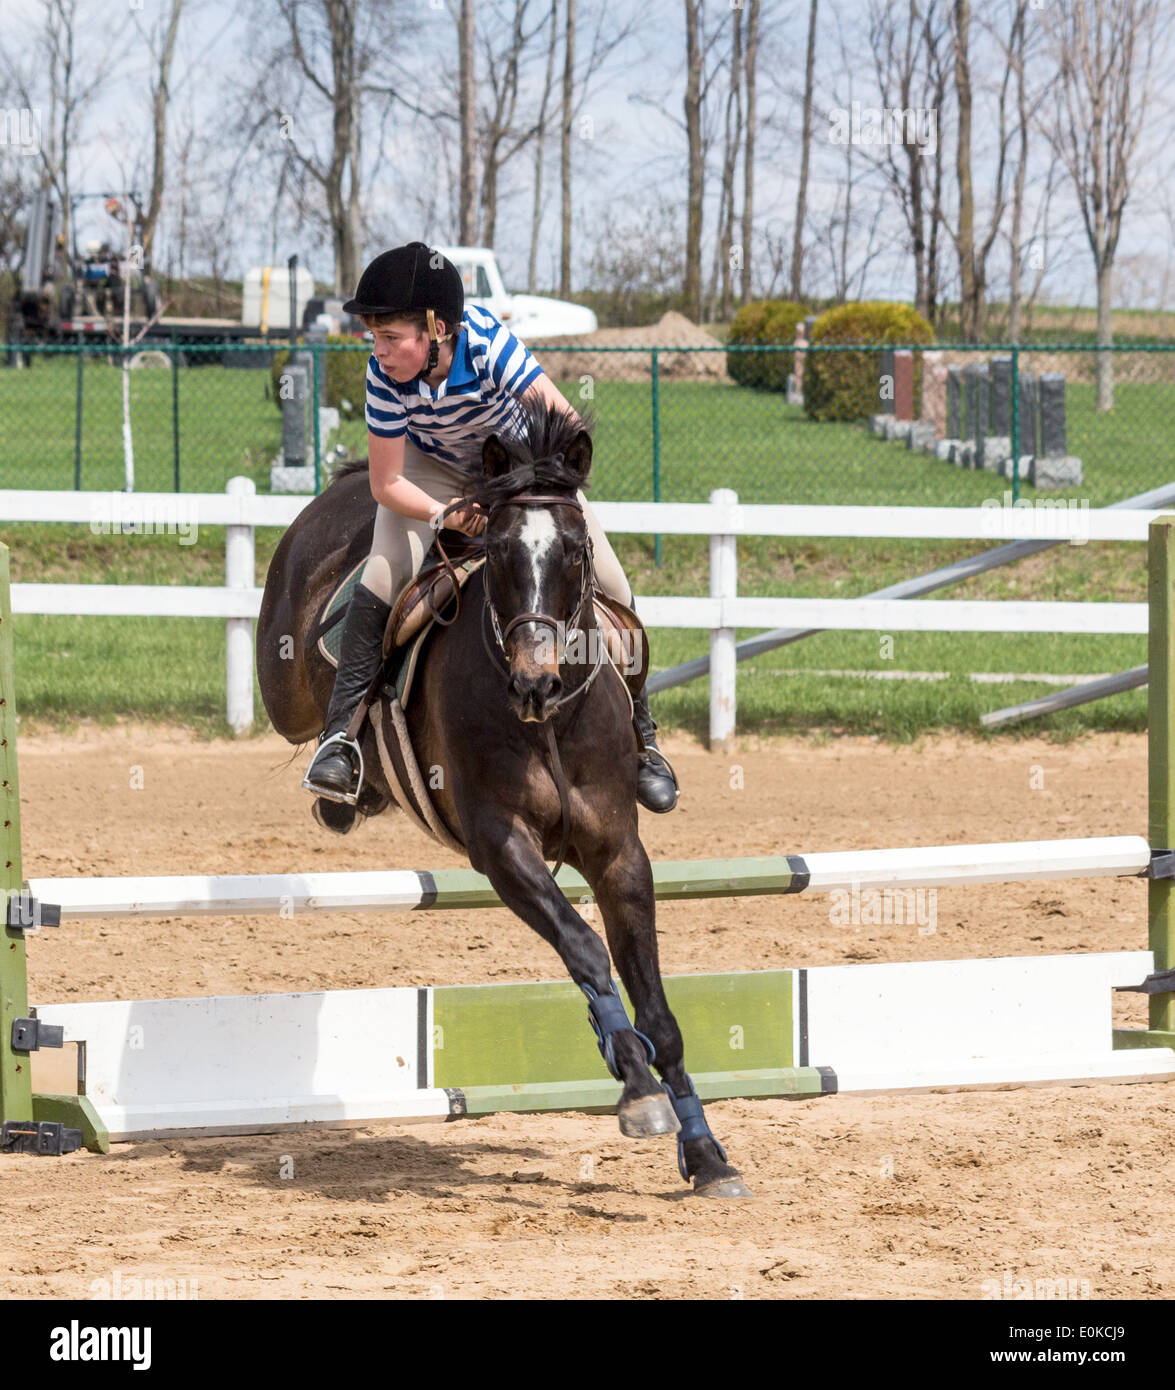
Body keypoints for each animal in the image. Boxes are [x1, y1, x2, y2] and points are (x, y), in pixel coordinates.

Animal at [257, 399, 751, 1198]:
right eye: (498, 552)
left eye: (577, 552)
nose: (536, 681)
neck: (549, 722)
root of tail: (346, 485)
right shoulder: (500, 846)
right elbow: (583, 948)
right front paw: (636, 1089)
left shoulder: (618, 854)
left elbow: (653, 1003)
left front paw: (705, 1154)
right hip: (288, 686)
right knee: (316, 705)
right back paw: (338, 774)